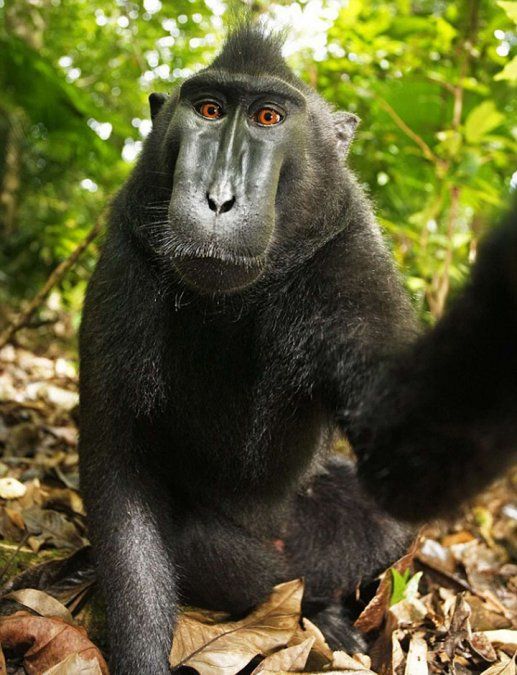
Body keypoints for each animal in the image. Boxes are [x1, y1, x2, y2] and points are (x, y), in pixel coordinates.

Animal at [79, 24, 517, 673]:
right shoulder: (126, 257)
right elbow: (119, 472)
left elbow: (407, 457)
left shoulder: (351, 255)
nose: (219, 199)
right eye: (209, 110)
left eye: (268, 116)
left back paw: (328, 614)